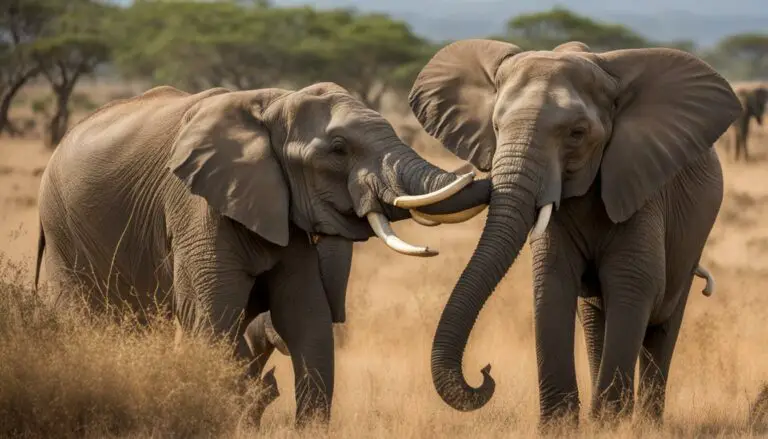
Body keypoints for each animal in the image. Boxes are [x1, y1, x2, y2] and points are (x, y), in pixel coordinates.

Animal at [33, 82, 492, 427]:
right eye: (338, 149)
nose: (484, 372)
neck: (272, 103)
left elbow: (305, 316)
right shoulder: (195, 204)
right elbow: (211, 314)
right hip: (63, 231)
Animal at [407, 39, 742, 426]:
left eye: (577, 134)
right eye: (496, 126)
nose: (485, 371)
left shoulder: (640, 186)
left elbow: (634, 282)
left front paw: (612, 426)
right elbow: (553, 281)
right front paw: (562, 426)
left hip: (694, 235)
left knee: (663, 321)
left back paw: (645, 423)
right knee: (596, 315)